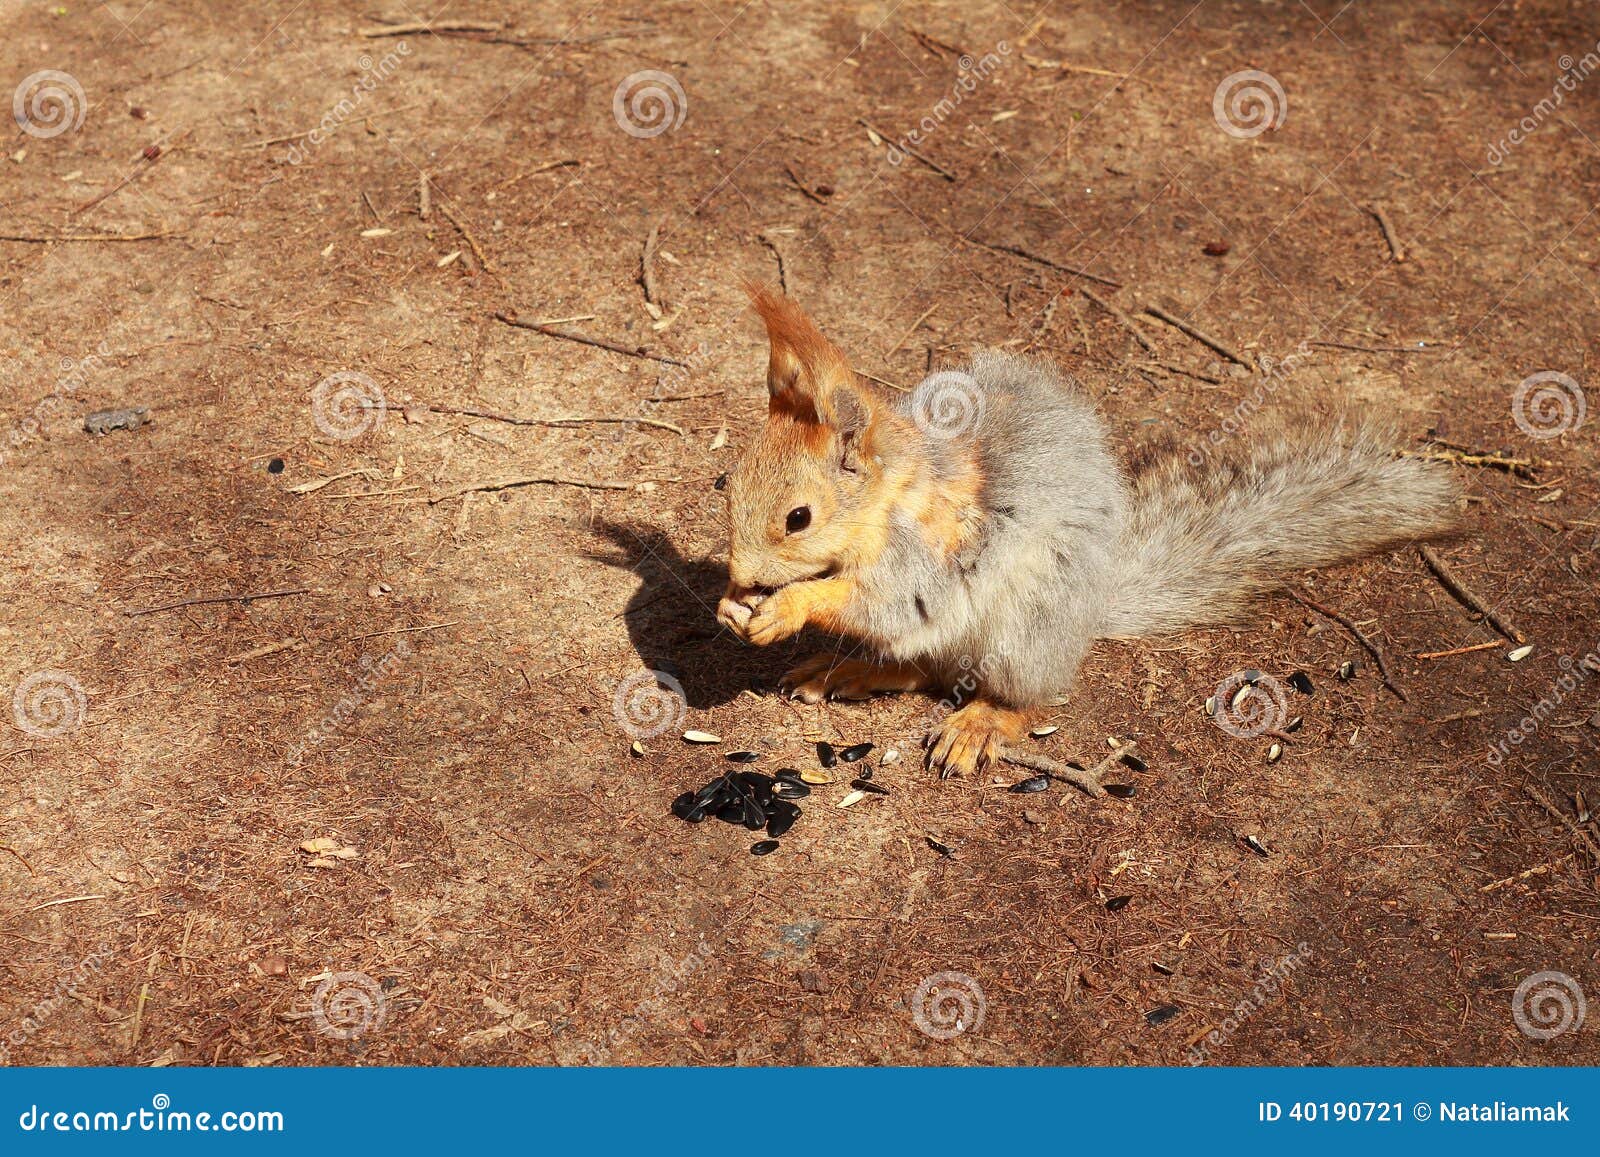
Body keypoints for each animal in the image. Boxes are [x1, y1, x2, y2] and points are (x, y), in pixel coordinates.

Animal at [715, 285, 1459, 779]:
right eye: (729, 482)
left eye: (798, 518)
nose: (742, 576)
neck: (887, 496)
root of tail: (1091, 606)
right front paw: (732, 605)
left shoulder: (924, 556)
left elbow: (891, 602)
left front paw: (787, 605)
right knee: (920, 667)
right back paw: (847, 668)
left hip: (1025, 629)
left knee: (1013, 692)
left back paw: (981, 721)